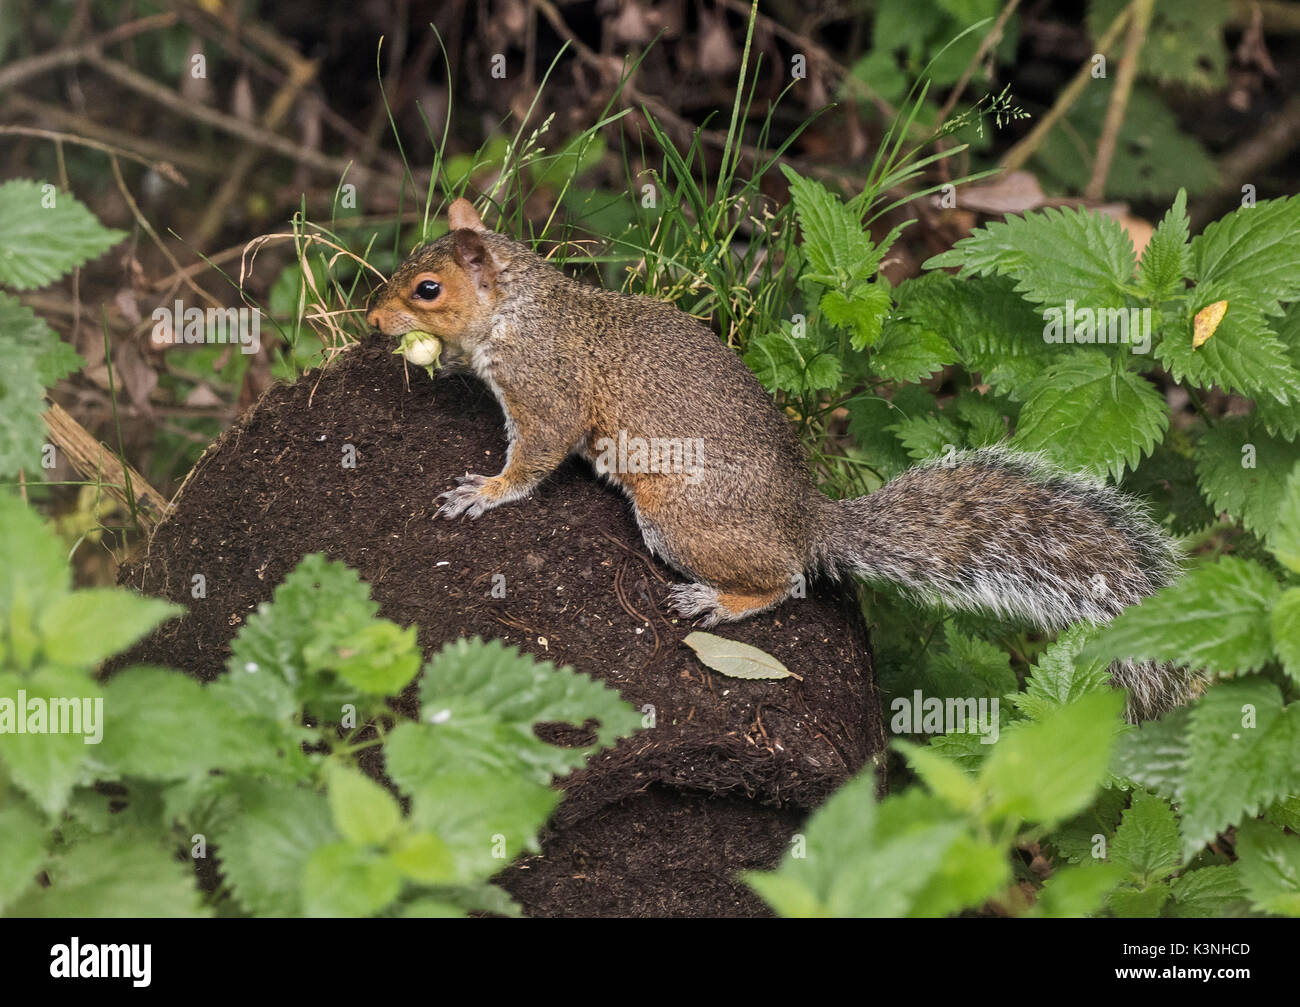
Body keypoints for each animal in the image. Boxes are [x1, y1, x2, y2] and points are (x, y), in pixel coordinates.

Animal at [367, 198, 1198, 719]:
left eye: (428, 287)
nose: (373, 320)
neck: (520, 310)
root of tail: (806, 519)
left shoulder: (547, 391)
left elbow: (537, 453)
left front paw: (485, 490)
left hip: (682, 519)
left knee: (788, 581)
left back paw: (717, 601)